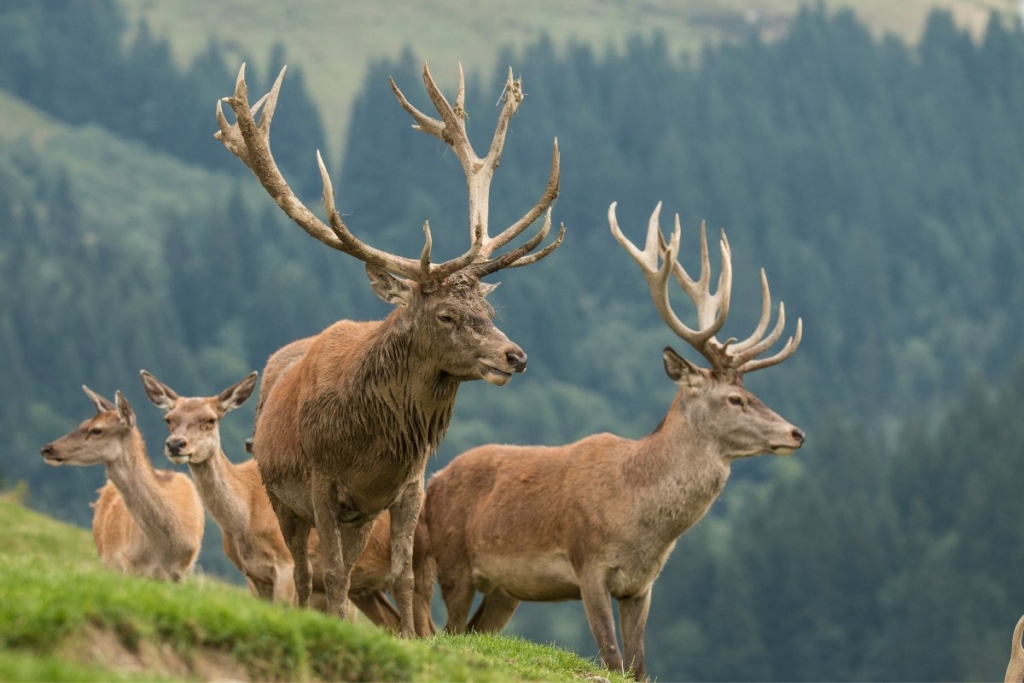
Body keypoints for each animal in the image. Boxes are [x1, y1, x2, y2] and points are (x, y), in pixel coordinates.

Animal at [139, 368, 408, 631]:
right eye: (169, 419)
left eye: (210, 419)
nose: (176, 445)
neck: (246, 518)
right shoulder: (255, 576)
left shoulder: (284, 564)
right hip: (367, 590)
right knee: (393, 622)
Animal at [213, 61, 562, 635]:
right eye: (446, 315)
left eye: (489, 314)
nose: (516, 356)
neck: (370, 450)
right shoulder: (321, 484)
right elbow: (331, 575)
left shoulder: (406, 488)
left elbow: (404, 576)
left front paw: (412, 639)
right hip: (282, 495)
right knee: (308, 574)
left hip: (361, 515)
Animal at [416, 201, 805, 679]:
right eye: (735, 398)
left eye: (753, 393)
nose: (795, 432)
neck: (638, 517)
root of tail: (435, 481)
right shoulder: (589, 564)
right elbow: (612, 657)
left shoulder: (642, 585)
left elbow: (638, 664)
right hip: (452, 560)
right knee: (448, 627)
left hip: (506, 589)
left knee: (473, 629)